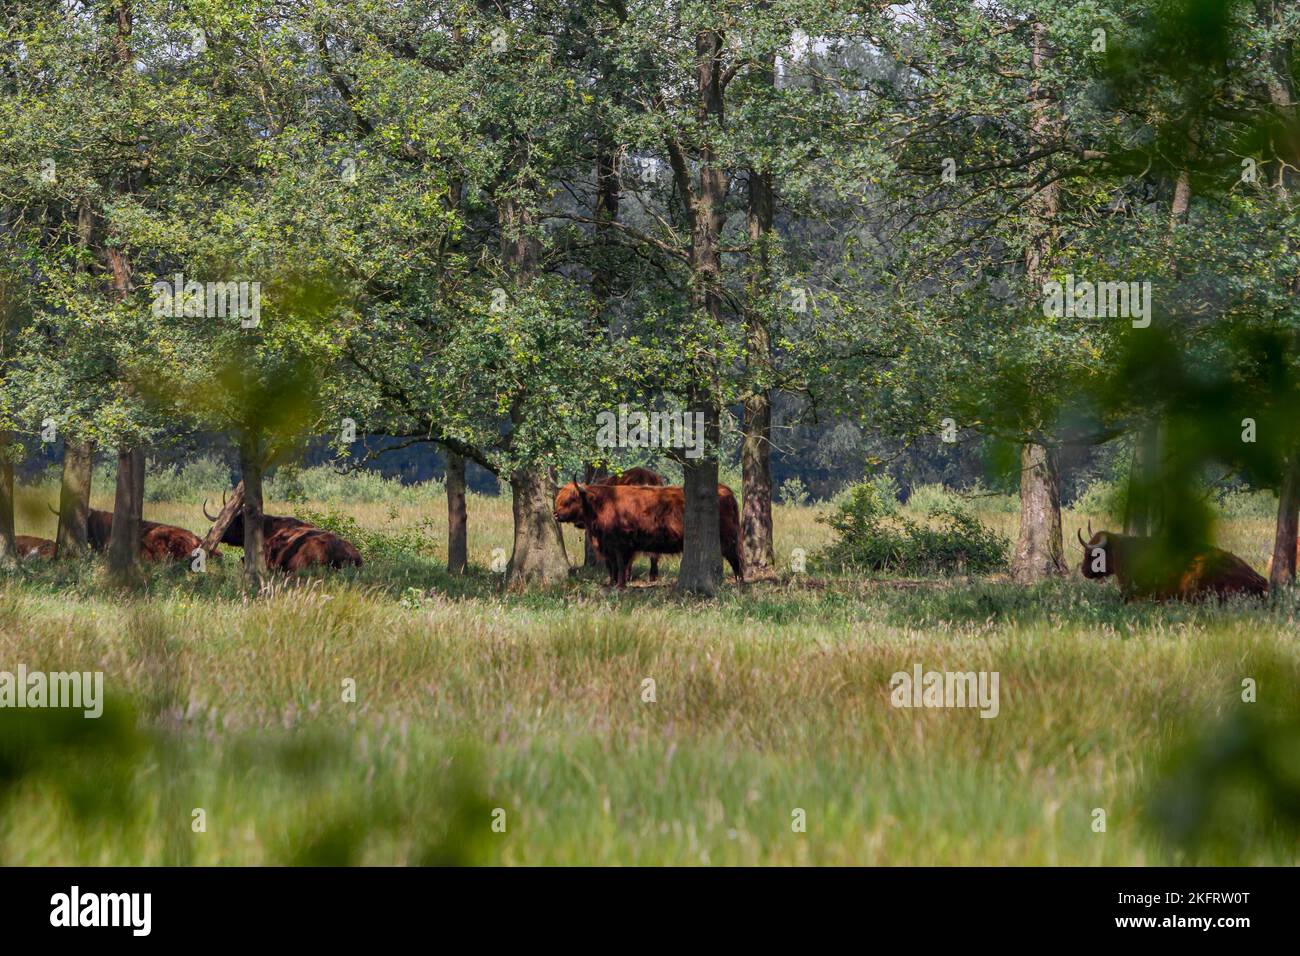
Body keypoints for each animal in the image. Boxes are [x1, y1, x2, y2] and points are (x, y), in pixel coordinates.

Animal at [554, 481, 743, 588]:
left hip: (728, 539)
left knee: (735, 559)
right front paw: (612, 583)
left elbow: (621, 565)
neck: (601, 504)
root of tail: (726, 491)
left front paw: (620, 585)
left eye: (570, 499)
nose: (555, 514)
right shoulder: (608, 547)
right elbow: (612, 566)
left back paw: (739, 581)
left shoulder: (622, 546)